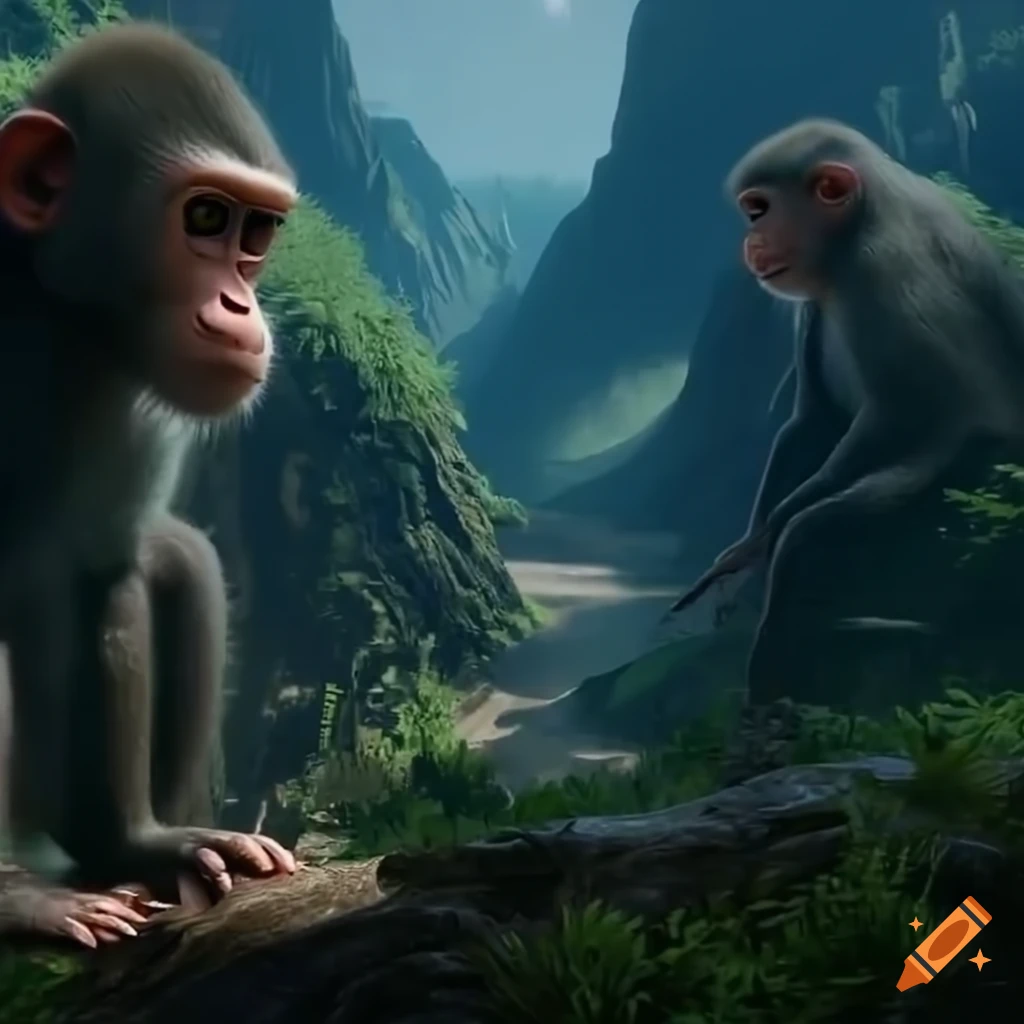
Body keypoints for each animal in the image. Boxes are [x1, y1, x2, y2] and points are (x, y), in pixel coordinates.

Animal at [0, 23, 303, 946]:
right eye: (204, 217)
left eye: (256, 232)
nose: (241, 308)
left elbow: (103, 564)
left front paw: (138, 843)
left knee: (176, 555)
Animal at [667, 119, 1024, 700]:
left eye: (759, 210)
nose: (750, 242)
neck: (863, 219)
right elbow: (812, 421)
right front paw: (748, 547)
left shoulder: (886, 272)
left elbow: (902, 417)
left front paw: (765, 539)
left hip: (971, 493)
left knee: (817, 535)